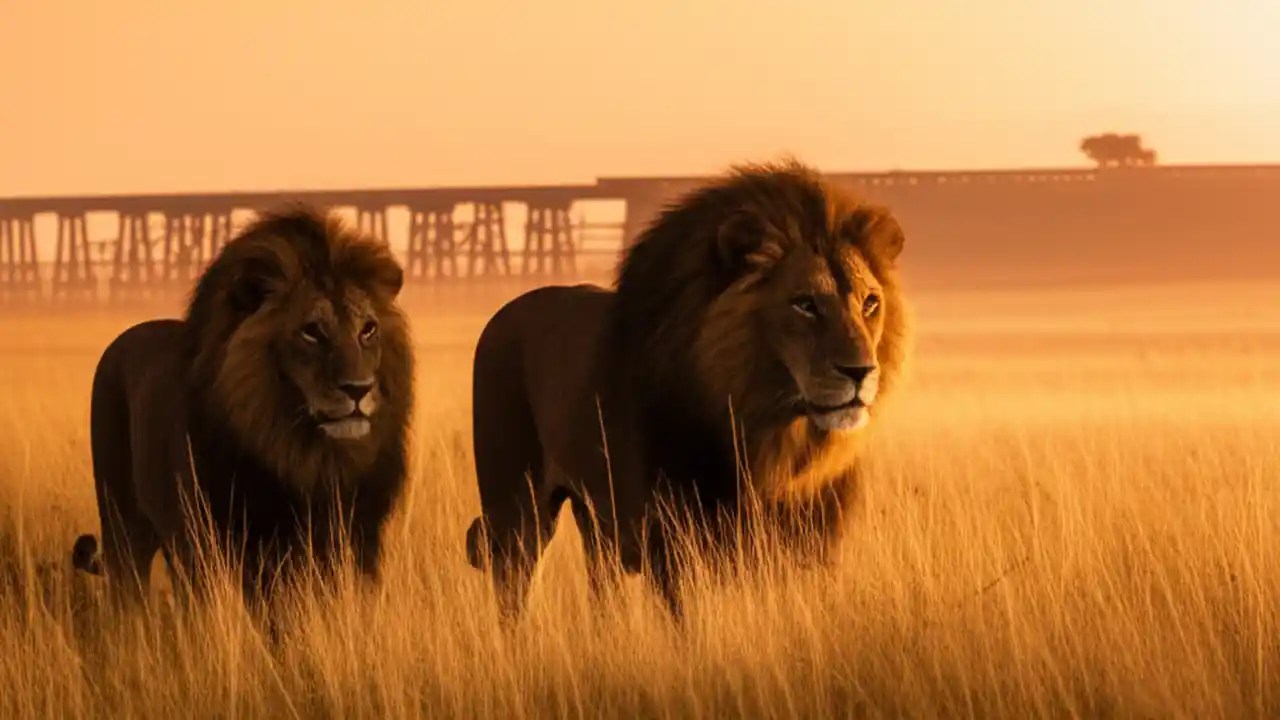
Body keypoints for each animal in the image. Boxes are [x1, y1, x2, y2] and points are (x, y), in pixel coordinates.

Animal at [72, 206, 414, 606]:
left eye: (368, 330)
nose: (358, 389)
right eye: (312, 332)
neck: (306, 456)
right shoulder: (218, 544)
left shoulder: (358, 537)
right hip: (123, 521)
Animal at [465, 159, 911, 618]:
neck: (772, 437)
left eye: (870, 303)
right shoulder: (676, 547)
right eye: (805, 304)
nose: (860, 371)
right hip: (516, 509)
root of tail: (501, 314)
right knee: (514, 588)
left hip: (597, 522)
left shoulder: (812, 543)